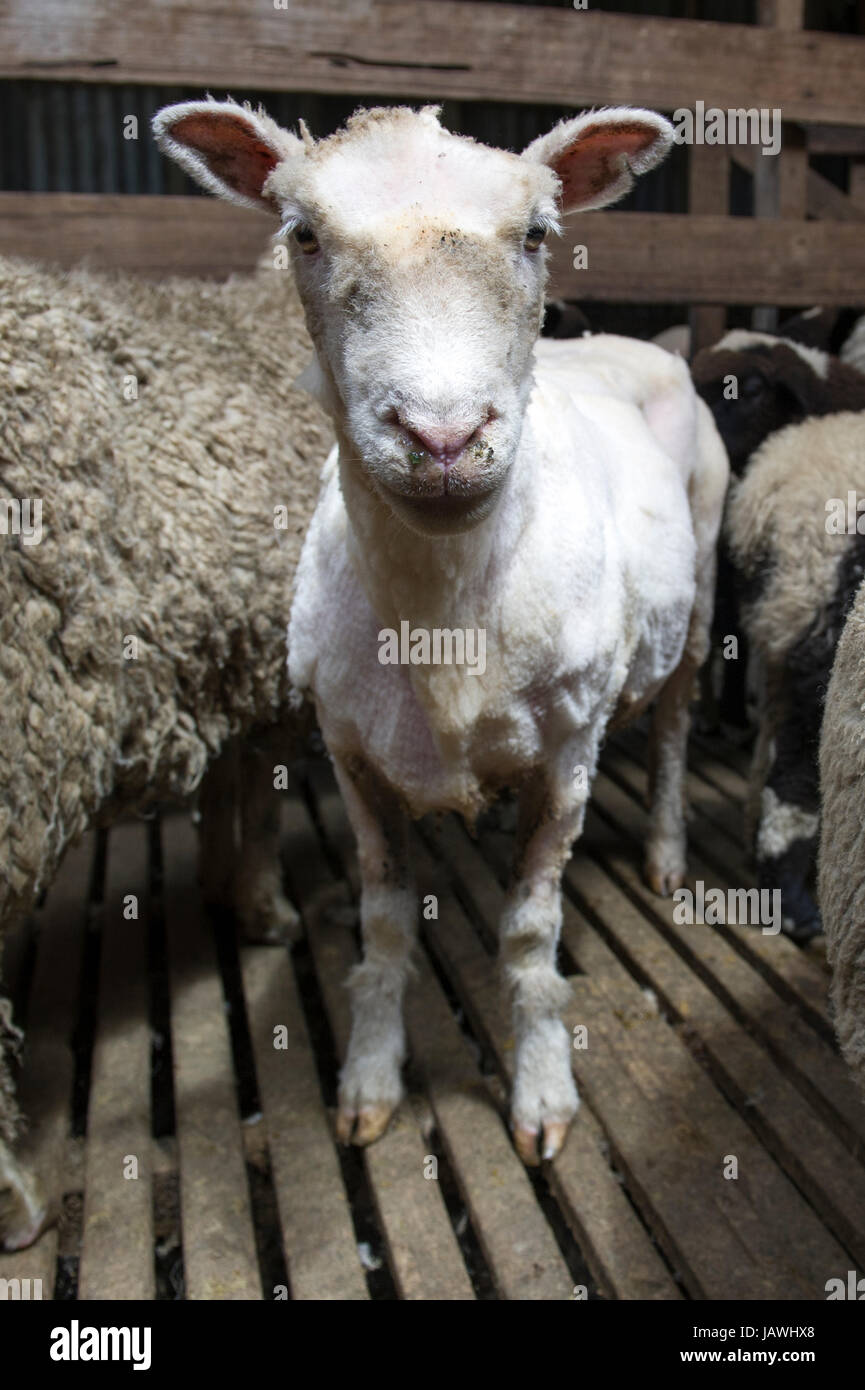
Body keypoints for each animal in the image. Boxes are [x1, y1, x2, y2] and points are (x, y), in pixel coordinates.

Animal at [0, 251, 331, 1248]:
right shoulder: (279, 654)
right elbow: (263, 799)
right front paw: (266, 909)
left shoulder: (231, 650)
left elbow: (230, 784)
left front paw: (225, 887)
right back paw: (14, 1199)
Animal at [155, 97, 728, 1165]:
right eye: (302, 234)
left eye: (538, 234)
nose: (444, 437)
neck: (443, 618)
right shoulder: (352, 755)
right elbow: (383, 928)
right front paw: (368, 1081)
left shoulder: (569, 754)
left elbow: (528, 934)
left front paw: (541, 1089)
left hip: (704, 574)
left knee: (674, 726)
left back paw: (667, 849)